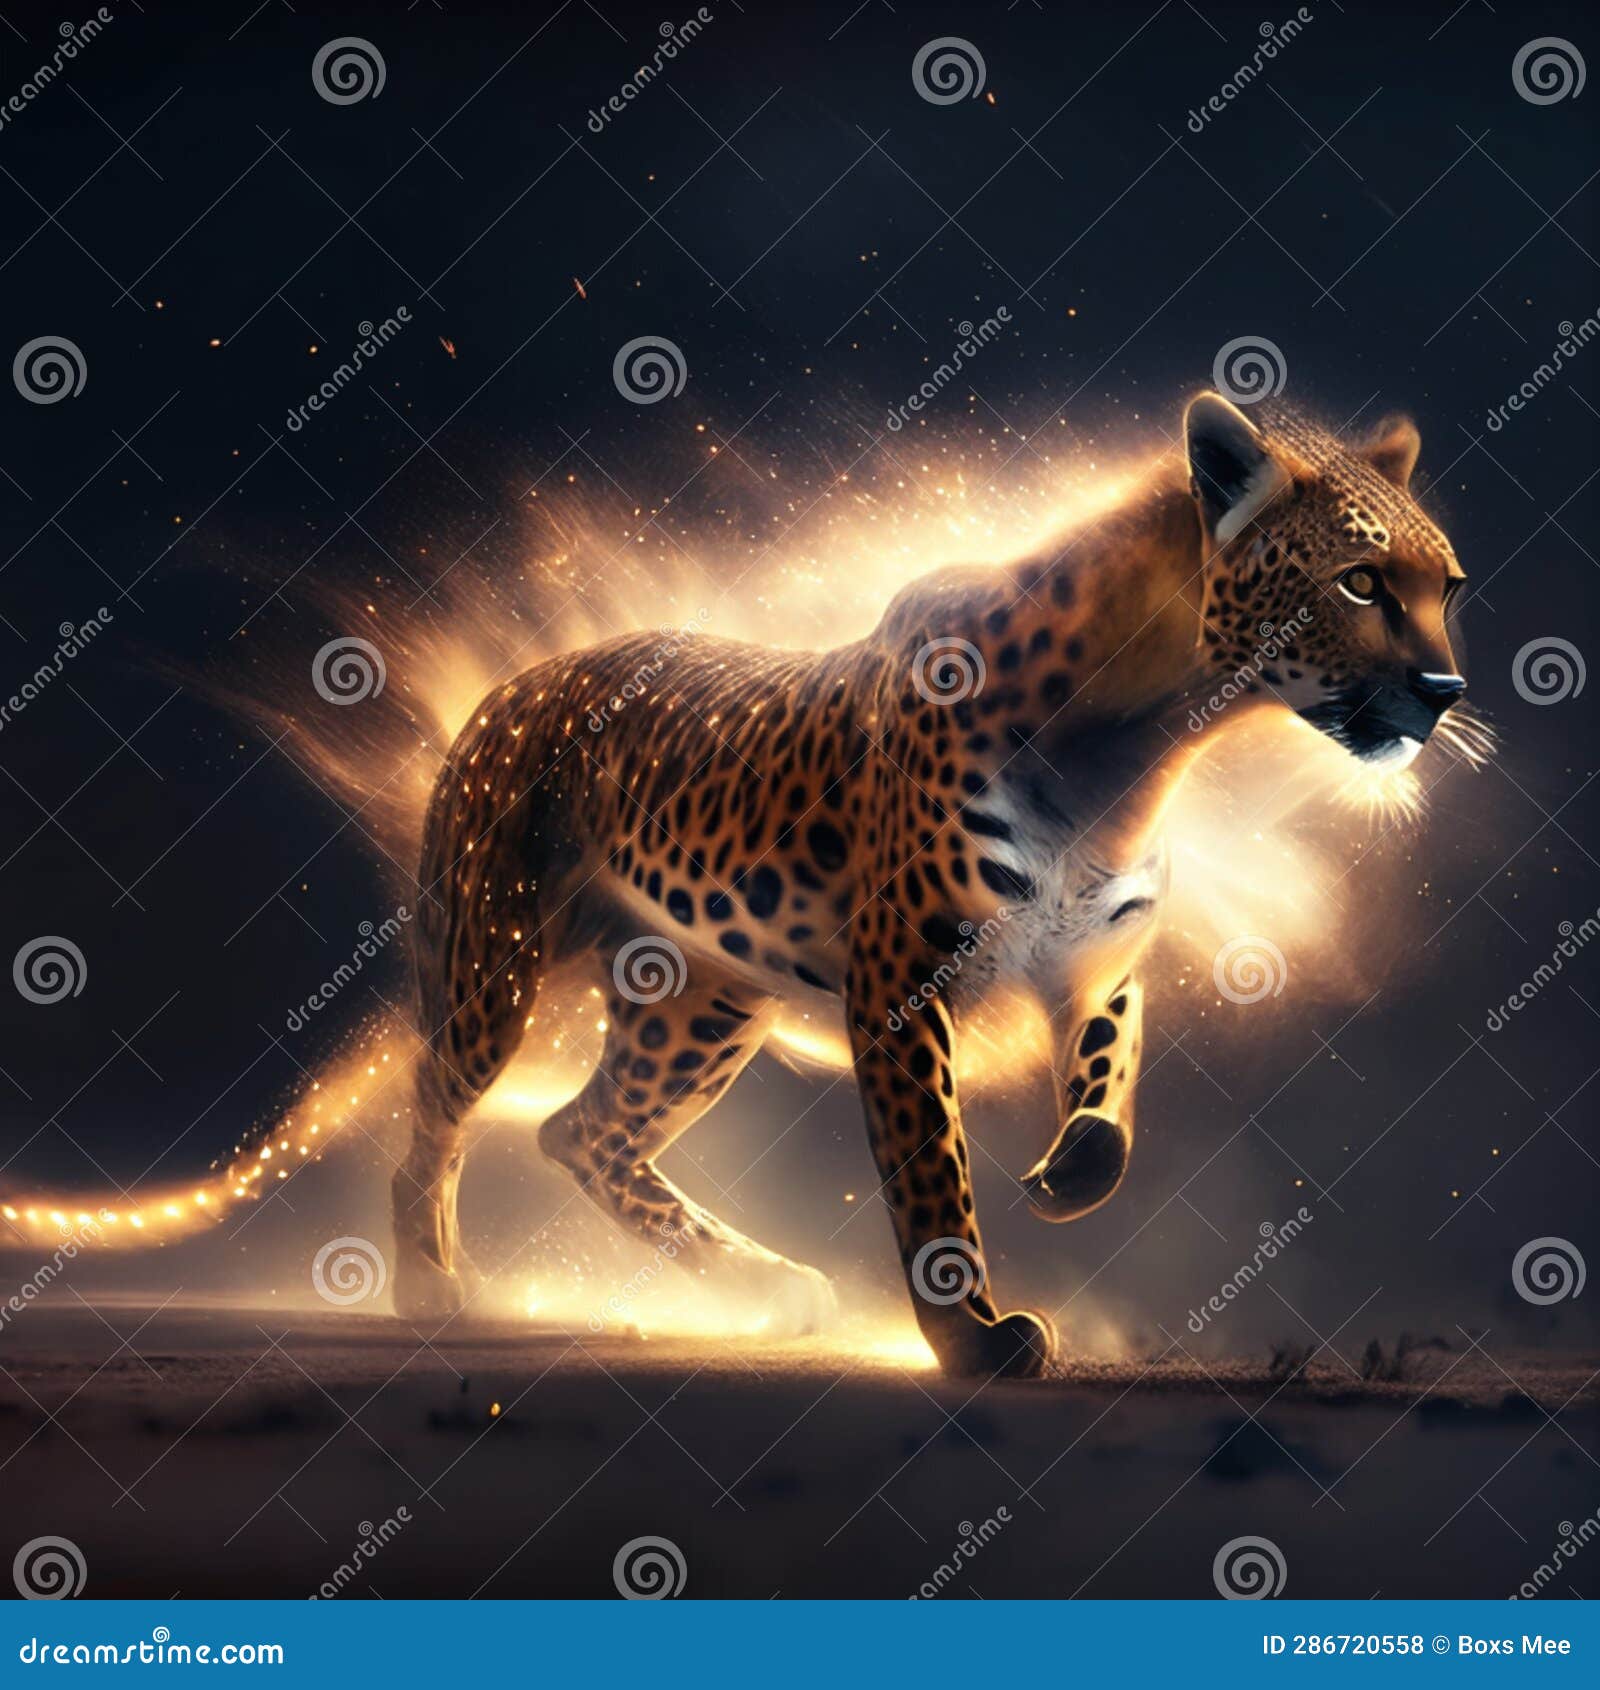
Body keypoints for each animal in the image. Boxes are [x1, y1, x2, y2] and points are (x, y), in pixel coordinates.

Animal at [392, 390, 1471, 1380]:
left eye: (1448, 589)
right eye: (1361, 582)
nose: (1444, 690)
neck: (1138, 744)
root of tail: (512, 685)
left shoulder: (1096, 961)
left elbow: (1111, 1099)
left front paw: (1064, 1175)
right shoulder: (898, 977)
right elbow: (931, 1172)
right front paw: (972, 1338)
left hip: (703, 1001)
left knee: (582, 1131)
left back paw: (765, 1282)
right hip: (490, 967)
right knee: (441, 1109)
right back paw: (426, 1283)